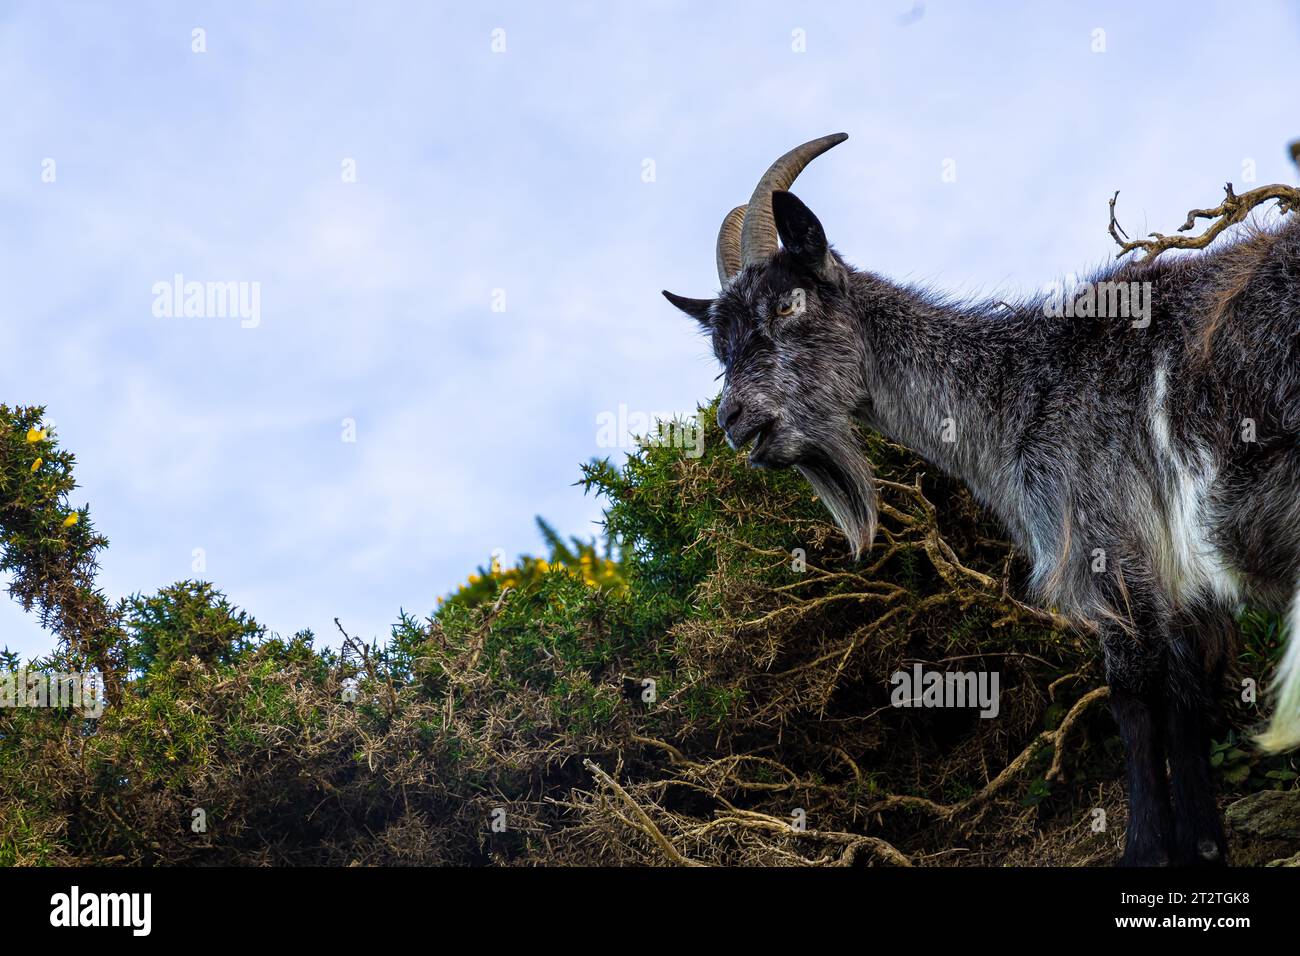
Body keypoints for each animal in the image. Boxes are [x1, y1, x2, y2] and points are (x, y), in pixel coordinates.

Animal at [663, 133, 1300, 866]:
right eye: (720, 345)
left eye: (789, 304)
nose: (734, 420)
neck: (1024, 388)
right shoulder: (1173, 576)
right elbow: (1187, 689)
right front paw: (1202, 848)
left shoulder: (1106, 540)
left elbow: (1135, 696)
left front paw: (1144, 851)